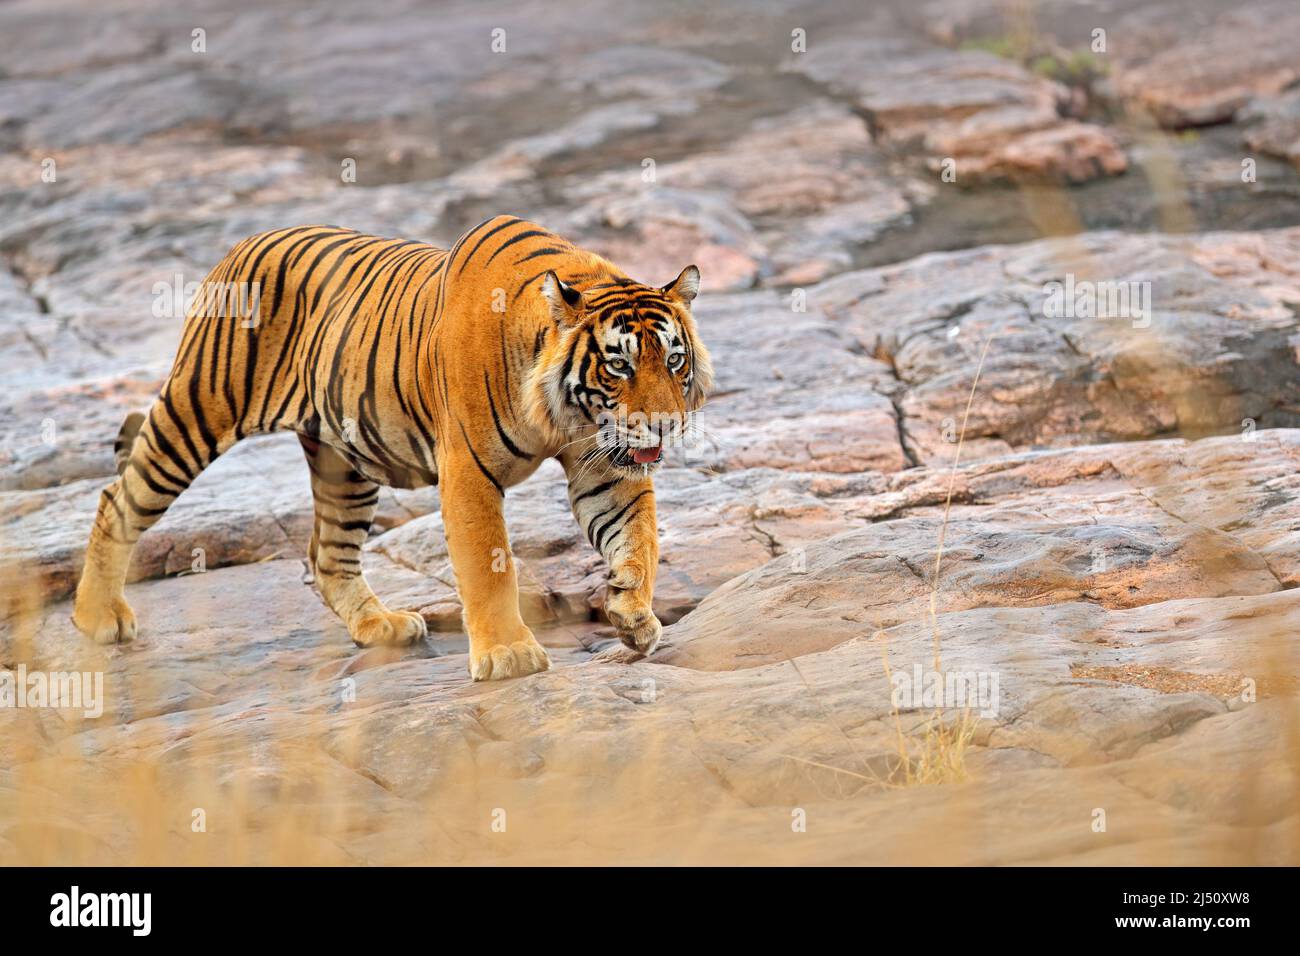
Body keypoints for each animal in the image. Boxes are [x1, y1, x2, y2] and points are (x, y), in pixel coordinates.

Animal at [72, 216, 712, 681]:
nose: (663, 427)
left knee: (328, 554)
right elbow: (489, 566)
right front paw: (508, 655)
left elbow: (639, 538)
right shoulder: (469, 472)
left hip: (344, 462)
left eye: (674, 360)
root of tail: (243, 242)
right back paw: (96, 617)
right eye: (619, 365)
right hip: (198, 413)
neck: (563, 413)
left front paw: (633, 615)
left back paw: (381, 625)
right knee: (117, 499)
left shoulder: (605, 467)